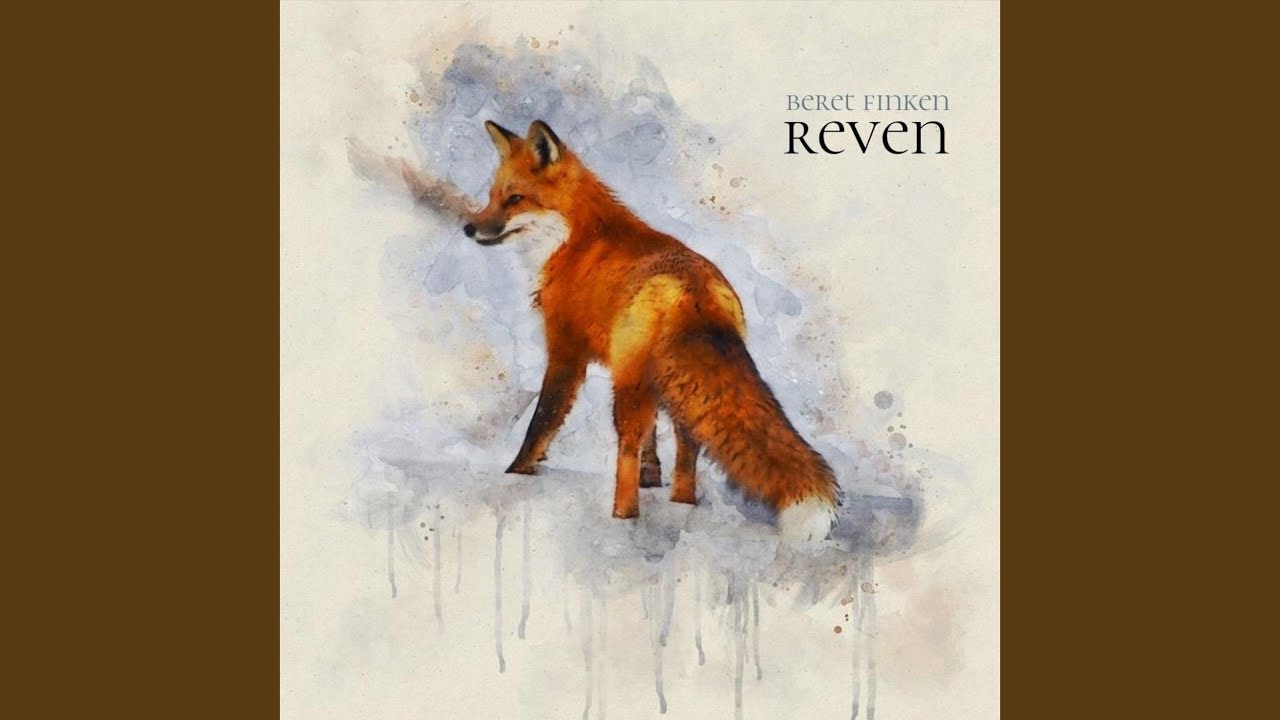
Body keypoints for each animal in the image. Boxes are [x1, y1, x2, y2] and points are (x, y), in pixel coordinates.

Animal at [464, 120, 839, 541]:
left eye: (514, 199)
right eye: (492, 197)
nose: (468, 228)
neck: (575, 239)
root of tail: (694, 292)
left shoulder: (566, 351)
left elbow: (542, 421)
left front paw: (517, 474)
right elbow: (652, 443)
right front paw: (652, 476)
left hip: (628, 386)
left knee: (627, 447)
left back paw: (623, 518)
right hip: (673, 386)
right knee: (687, 446)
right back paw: (681, 504)